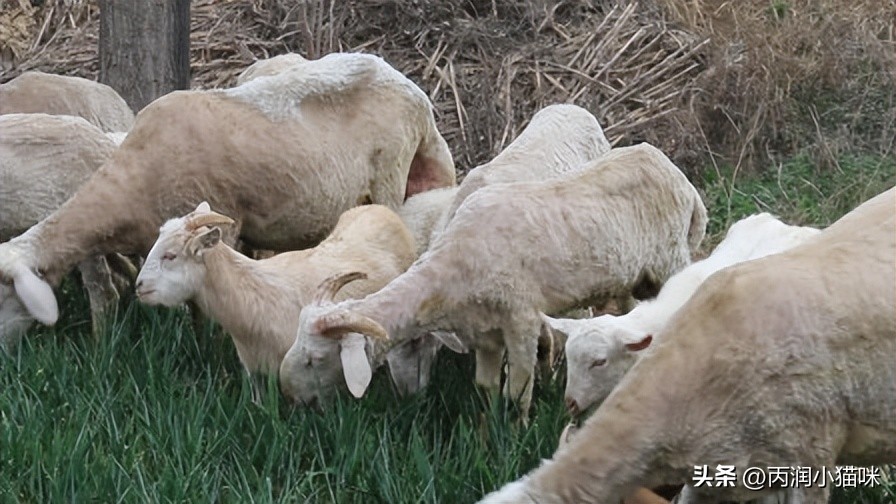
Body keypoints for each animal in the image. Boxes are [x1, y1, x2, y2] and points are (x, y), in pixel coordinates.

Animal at [285, 142, 707, 415]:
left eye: (314, 358)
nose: (290, 396)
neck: (452, 267)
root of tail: (674, 173)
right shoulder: (485, 331)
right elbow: (487, 389)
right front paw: (486, 438)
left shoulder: (520, 319)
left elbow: (517, 390)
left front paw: (517, 432)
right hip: (630, 278)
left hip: (671, 258)